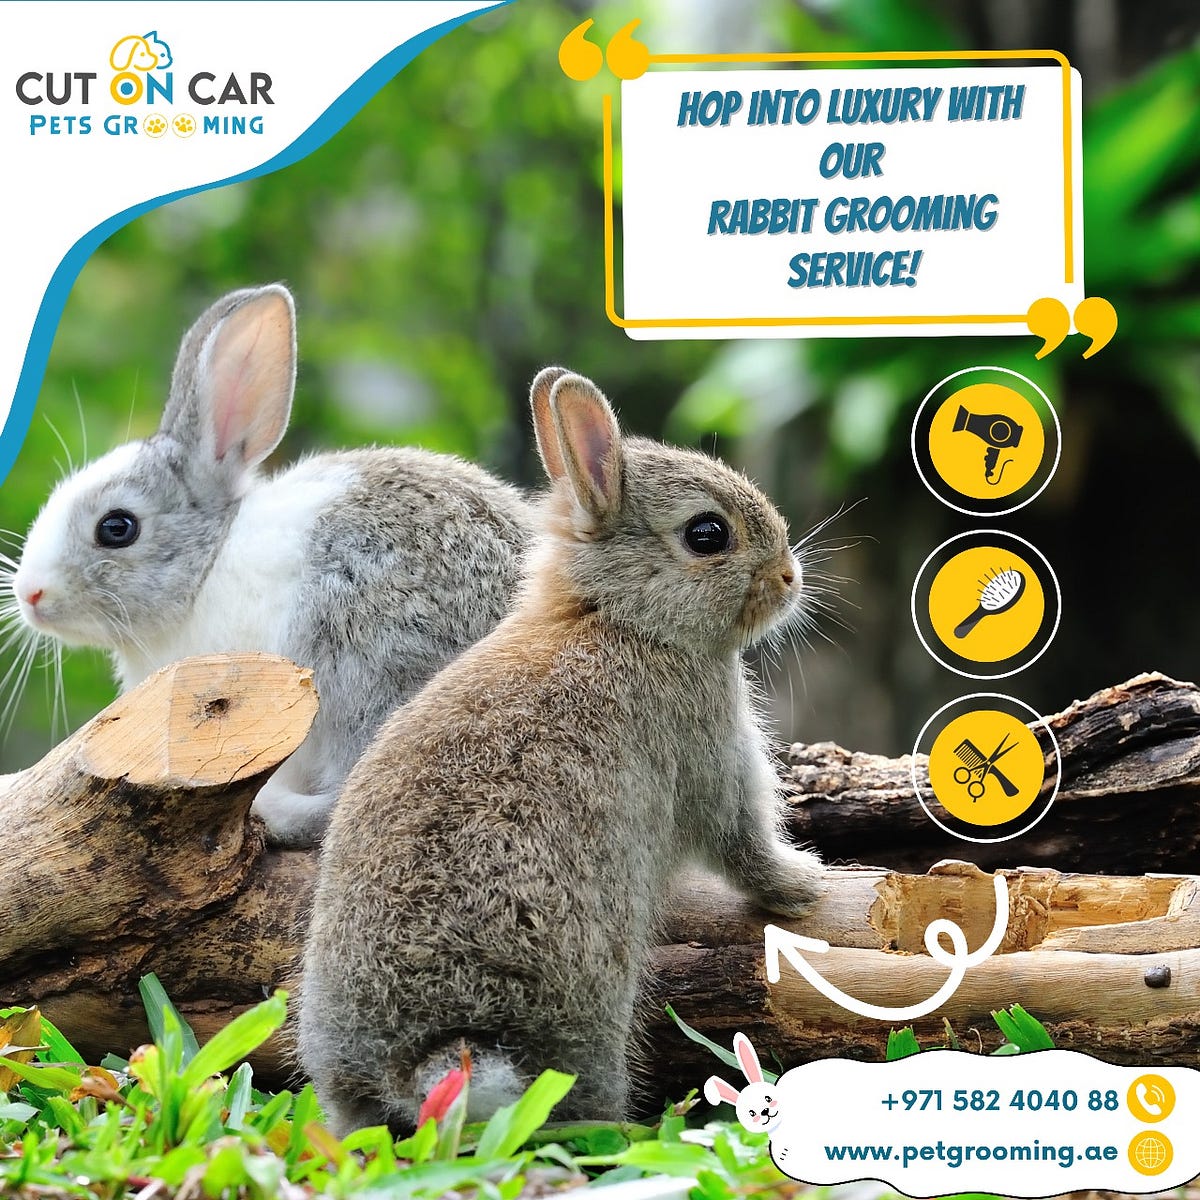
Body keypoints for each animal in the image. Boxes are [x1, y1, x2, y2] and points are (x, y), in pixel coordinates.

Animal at [298, 366, 825, 1135]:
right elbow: (742, 844)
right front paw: (804, 885)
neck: (619, 618)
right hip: (588, 1012)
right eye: (707, 534)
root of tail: (424, 1055)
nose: (789, 577)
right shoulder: (710, 752)